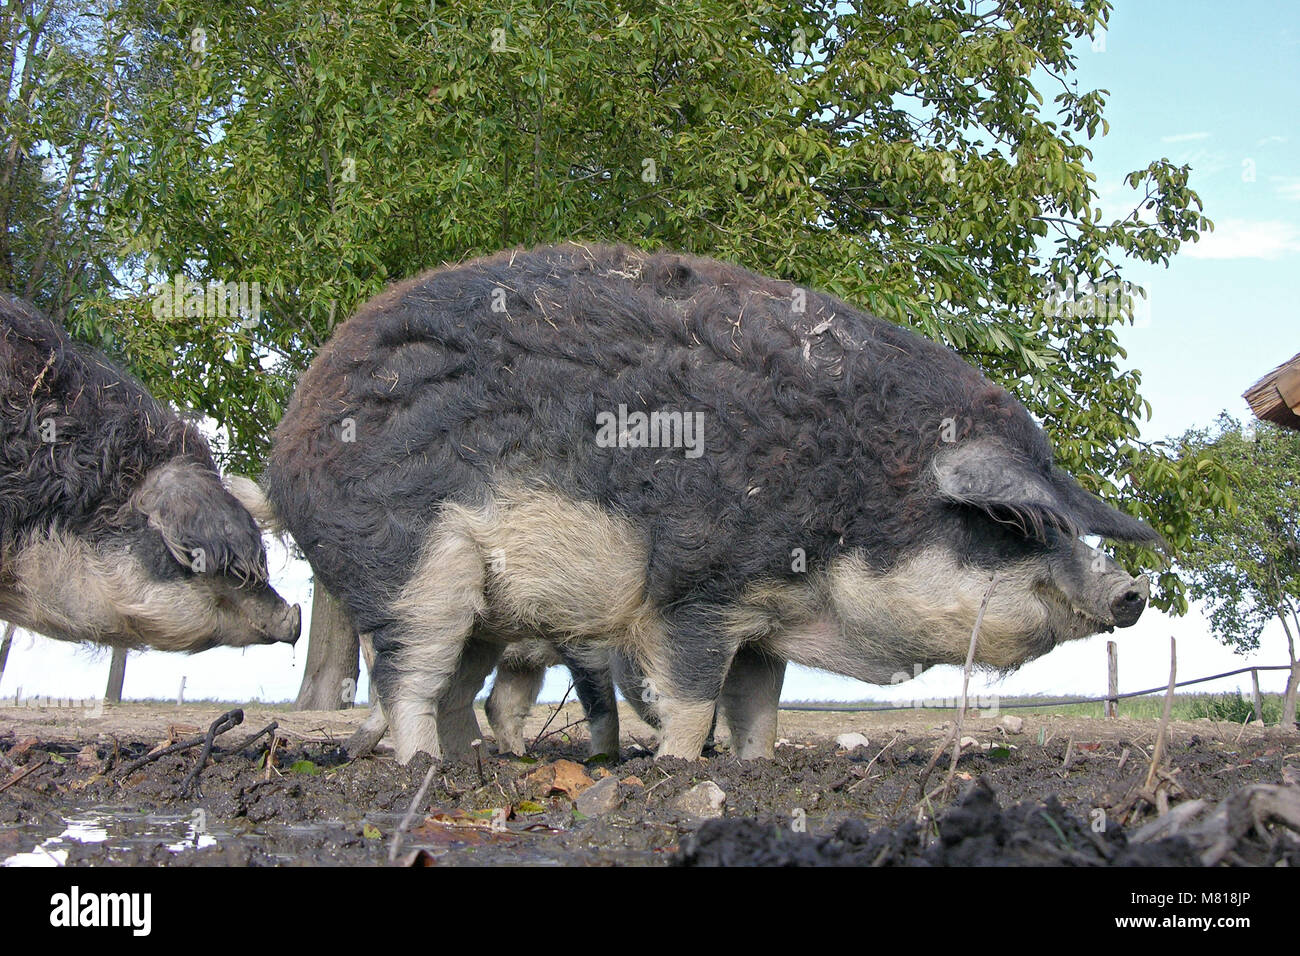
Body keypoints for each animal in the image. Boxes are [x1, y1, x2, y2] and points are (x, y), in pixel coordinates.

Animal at [266, 242, 1156, 764]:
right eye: (1010, 523)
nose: (1131, 590)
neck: (852, 490)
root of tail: (289, 441)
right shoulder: (696, 585)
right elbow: (693, 699)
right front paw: (676, 771)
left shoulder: (765, 616)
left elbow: (761, 703)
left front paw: (757, 769)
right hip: (411, 570)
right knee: (408, 679)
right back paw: (426, 770)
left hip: (488, 613)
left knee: (456, 687)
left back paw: (473, 772)